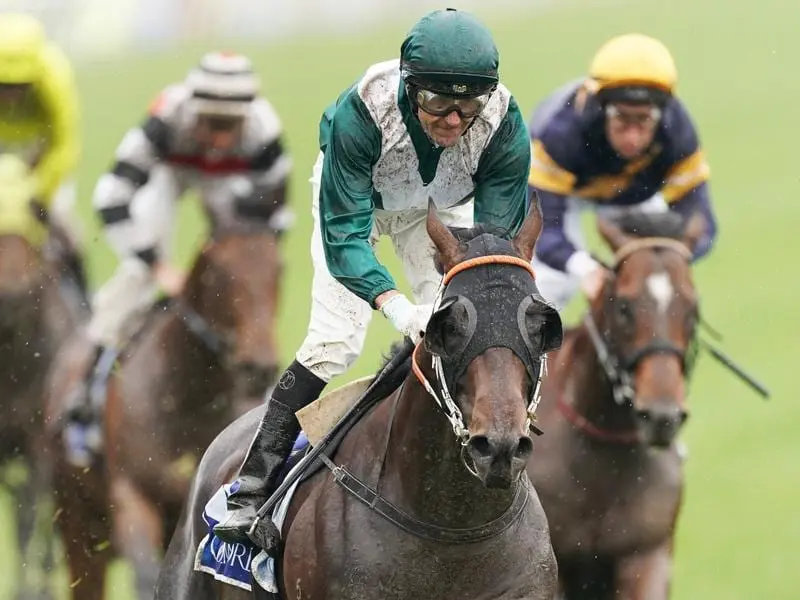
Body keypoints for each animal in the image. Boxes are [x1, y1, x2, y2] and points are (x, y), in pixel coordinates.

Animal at [44, 221, 285, 600]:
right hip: (78, 521)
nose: (258, 366)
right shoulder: (132, 498)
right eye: (218, 271)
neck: (190, 401)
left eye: (279, 269)